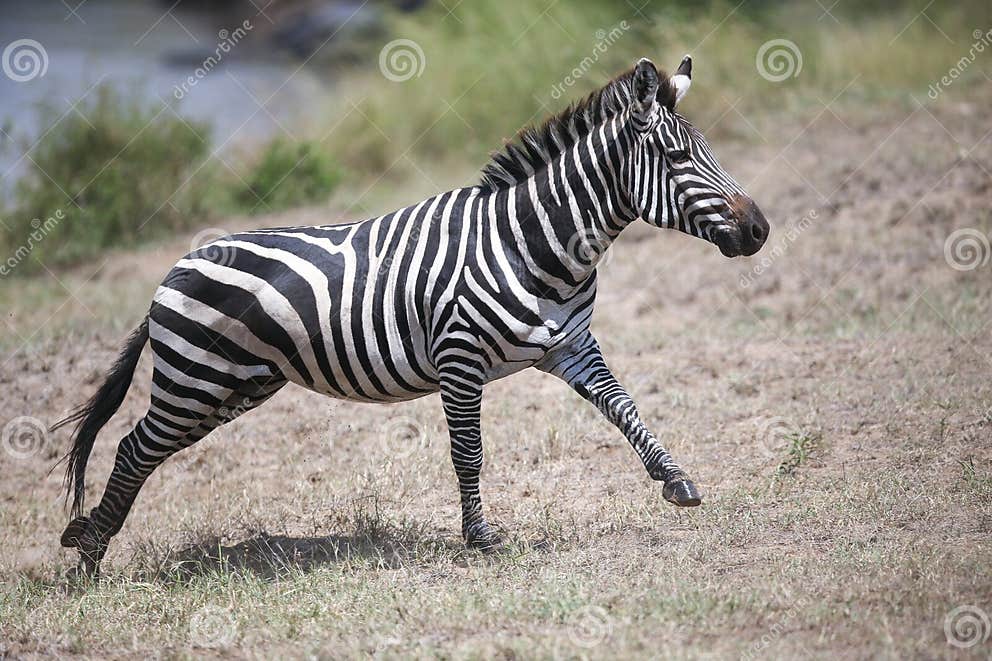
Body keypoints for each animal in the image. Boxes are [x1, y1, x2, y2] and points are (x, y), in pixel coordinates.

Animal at [55, 56, 768, 574]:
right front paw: (480, 538)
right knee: (133, 448)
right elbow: (467, 452)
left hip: (236, 388)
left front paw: (676, 480)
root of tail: (175, 267)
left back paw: (89, 544)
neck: (537, 245)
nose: (760, 230)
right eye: (678, 158)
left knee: (140, 450)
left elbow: (625, 407)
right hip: (196, 380)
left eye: (706, 150)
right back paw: (89, 561)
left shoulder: (571, 346)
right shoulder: (459, 358)